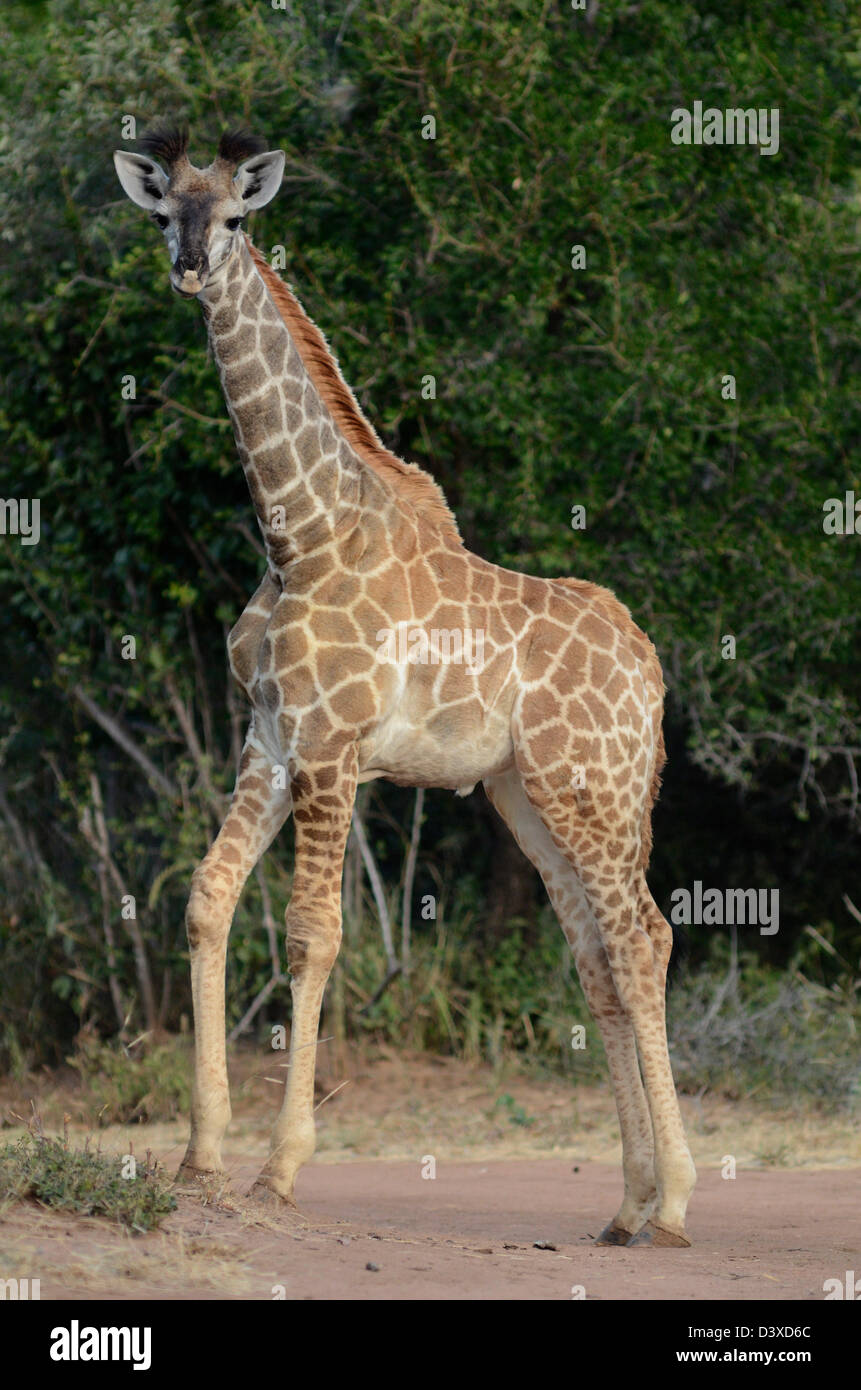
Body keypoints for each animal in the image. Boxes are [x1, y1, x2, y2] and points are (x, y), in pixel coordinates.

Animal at [114, 124, 696, 1247]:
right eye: (167, 213)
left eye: (237, 217)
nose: (191, 268)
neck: (298, 533)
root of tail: (649, 670)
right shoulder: (270, 742)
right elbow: (209, 898)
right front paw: (200, 1159)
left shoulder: (335, 749)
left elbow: (311, 933)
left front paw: (277, 1172)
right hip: (531, 796)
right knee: (598, 955)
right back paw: (626, 1203)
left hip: (592, 788)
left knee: (643, 937)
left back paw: (678, 1204)